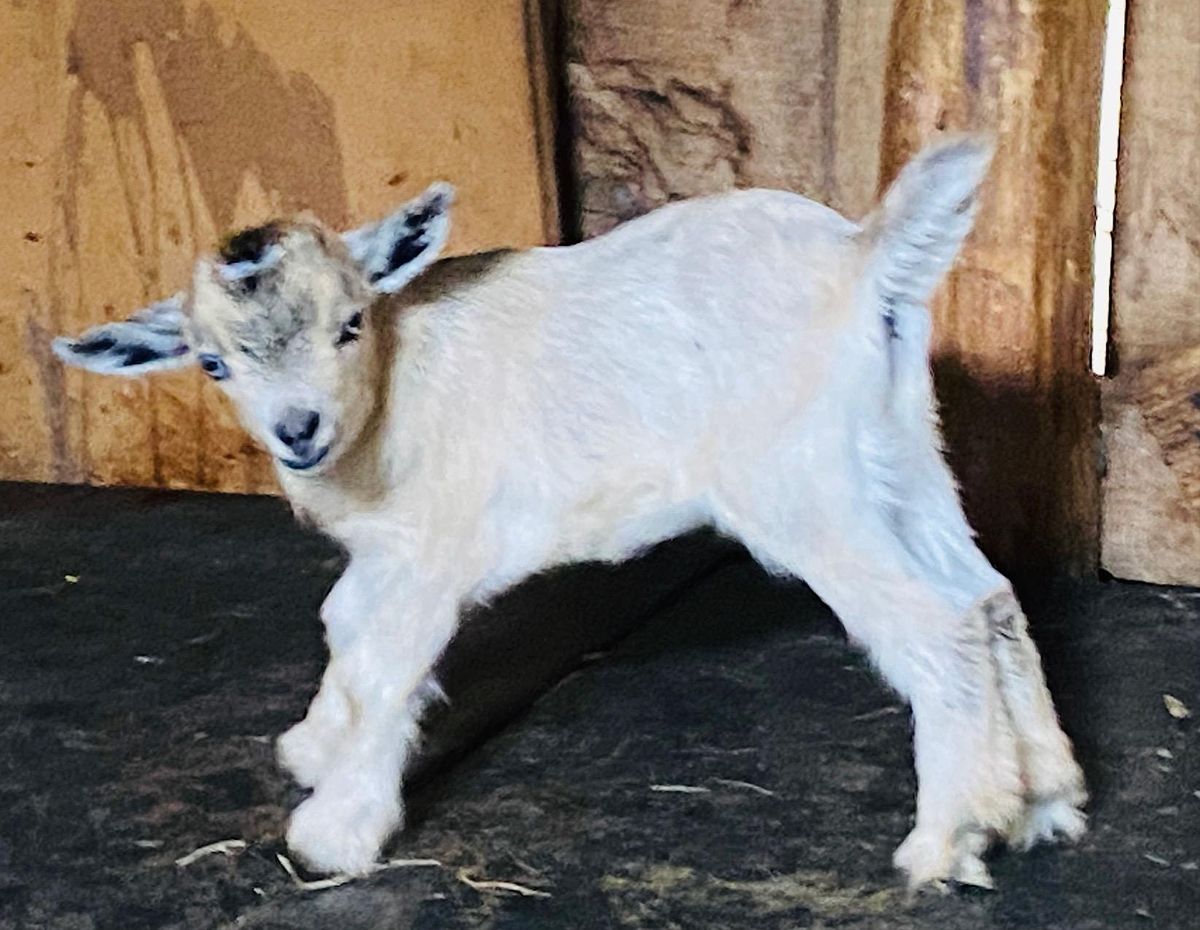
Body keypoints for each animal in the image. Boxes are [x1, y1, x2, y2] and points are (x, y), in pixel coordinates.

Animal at [53, 136, 1086, 888]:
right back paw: (1044, 800)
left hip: (805, 487)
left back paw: (947, 840)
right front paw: (316, 745)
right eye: (213, 363)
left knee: (936, 623)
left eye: (350, 323)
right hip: (903, 456)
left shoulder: (432, 549)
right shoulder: (385, 551)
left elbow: (387, 661)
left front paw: (335, 829)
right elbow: (342, 626)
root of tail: (863, 259)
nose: (297, 429)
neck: (391, 387)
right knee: (988, 595)